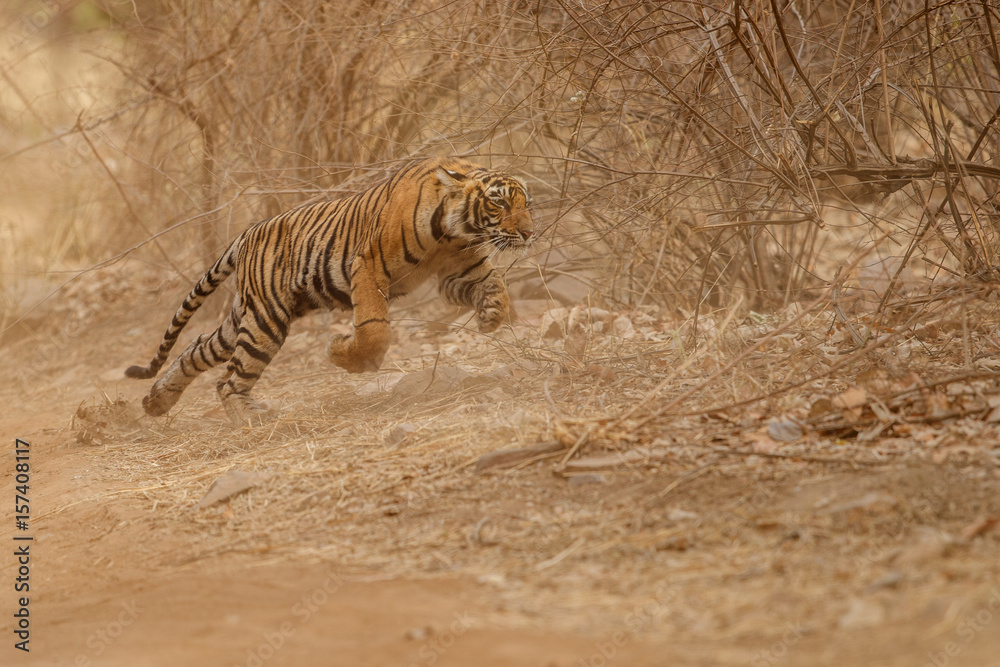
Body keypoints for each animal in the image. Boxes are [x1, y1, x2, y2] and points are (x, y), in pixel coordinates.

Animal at [125, 157, 534, 425]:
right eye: (498, 202)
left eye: (526, 203)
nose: (530, 232)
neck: (454, 230)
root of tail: (247, 232)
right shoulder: (368, 267)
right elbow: (373, 329)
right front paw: (345, 356)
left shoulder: (457, 271)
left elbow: (495, 282)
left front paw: (492, 315)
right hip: (266, 319)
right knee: (228, 381)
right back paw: (250, 422)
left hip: (245, 316)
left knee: (196, 348)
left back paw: (156, 401)